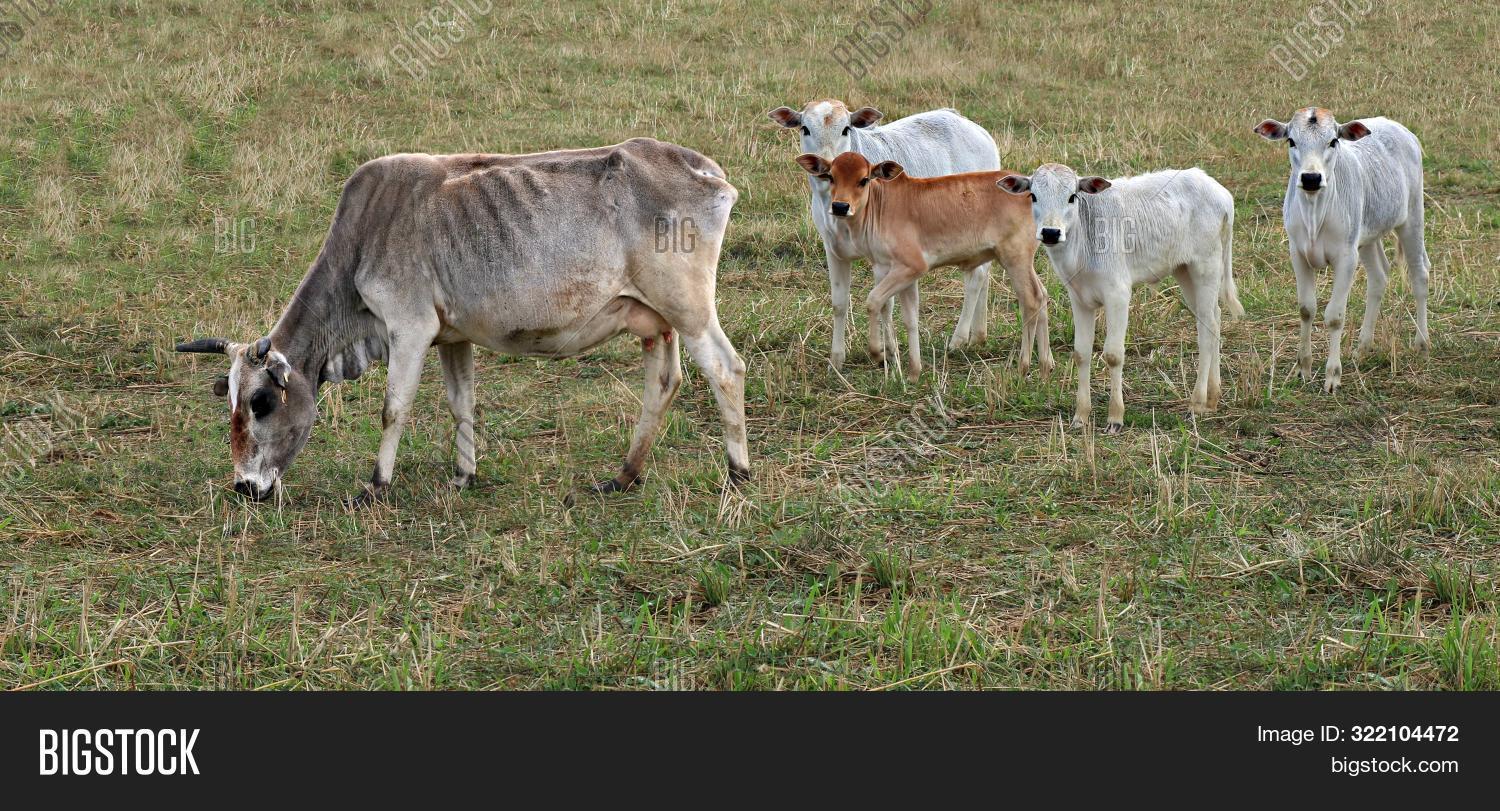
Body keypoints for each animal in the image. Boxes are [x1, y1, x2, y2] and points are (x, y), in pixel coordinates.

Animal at [175, 138, 749, 506]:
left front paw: (376, 486)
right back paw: (625, 475)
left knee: (726, 369)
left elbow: (393, 409)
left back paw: (737, 473)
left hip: (689, 308)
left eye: (262, 402)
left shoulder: (408, 329)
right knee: (664, 382)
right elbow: (461, 404)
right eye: (230, 402)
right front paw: (463, 475)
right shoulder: (452, 336)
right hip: (656, 321)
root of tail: (700, 166)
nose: (243, 487)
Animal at [768, 100, 1051, 373]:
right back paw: (985, 338)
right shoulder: (836, 251)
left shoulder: (890, 260)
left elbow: (885, 303)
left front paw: (887, 354)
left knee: (982, 280)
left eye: (846, 128)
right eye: (805, 128)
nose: (824, 168)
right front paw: (838, 360)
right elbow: (841, 303)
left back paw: (963, 340)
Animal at [999, 163, 1244, 432]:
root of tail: (1221, 193)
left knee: (1207, 328)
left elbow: (1113, 355)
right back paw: (1213, 397)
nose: (1051, 233)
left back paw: (1197, 402)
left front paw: (1115, 417)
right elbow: (1081, 353)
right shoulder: (1079, 299)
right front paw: (1080, 416)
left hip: (1206, 267)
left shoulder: (1118, 294)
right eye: (1033, 196)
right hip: (1185, 270)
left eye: (1072, 196)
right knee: (1213, 319)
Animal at [1254, 109, 1430, 392]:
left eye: (1333, 141)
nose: (1311, 178)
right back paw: (1363, 347)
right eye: (1291, 141)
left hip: (1412, 217)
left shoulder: (1346, 257)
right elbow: (1306, 309)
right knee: (1379, 276)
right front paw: (1303, 368)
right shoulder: (1297, 254)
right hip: (1367, 236)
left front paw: (1332, 376)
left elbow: (1335, 316)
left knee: (1420, 274)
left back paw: (1422, 344)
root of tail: (1400, 128)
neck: (1314, 213)